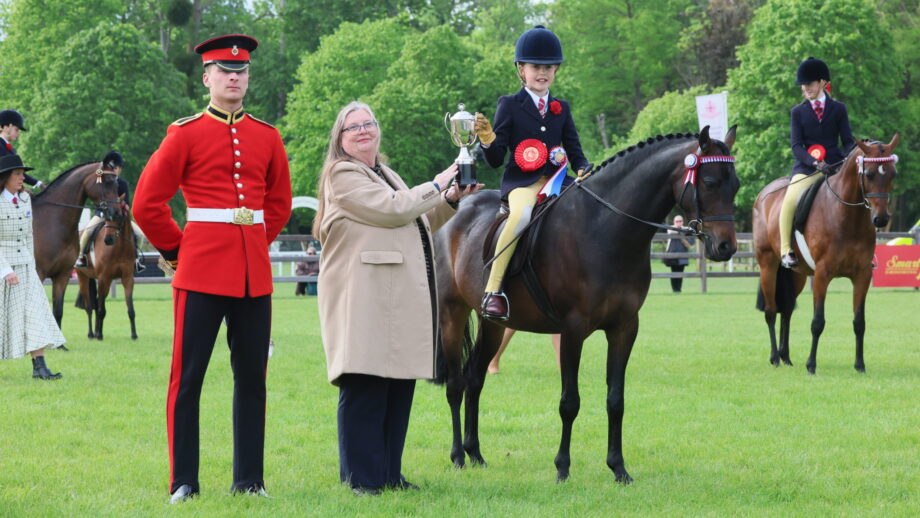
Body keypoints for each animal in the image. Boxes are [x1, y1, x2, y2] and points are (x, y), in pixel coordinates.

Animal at [31, 163, 124, 330]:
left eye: (117, 184)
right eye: (107, 181)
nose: (117, 213)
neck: (52, 221)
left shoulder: (63, 274)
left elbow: (57, 311)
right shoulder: (38, 273)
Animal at [74, 206, 138, 340]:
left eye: (119, 216)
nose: (108, 239)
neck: (119, 247)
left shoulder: (127, 278)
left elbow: (130, 308)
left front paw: (134, 335)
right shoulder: (104, 278)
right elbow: (100, 309)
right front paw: (99, 335)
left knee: (97, 302)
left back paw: (96, 332)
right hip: (83, 277)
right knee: (89, 307)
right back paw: (92, 334)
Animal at [433, 126, 739, 483]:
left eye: (736, 185)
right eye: (710, 182)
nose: (726, 247)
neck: (605, 229)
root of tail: (456, 209)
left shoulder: (625, 328)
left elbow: (616, 400)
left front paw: (619, 468)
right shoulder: (573, 330)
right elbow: (570, 402)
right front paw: (562, 467)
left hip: (493, 324)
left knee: (475, 379)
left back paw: (475, 453)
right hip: (452, 313)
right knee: (455, 384)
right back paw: (457, 455)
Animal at [752, 134, 900, 374]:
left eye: (892, 173)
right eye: (869, 174)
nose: (881, 219)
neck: (847, 217)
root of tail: (764, 194)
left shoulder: (862, 275)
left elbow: (859, 322)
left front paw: (860, 365)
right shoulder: (823, 274)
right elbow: (817, 322)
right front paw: (811, 365)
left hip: (798, 275)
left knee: (787, 311)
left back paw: (786, 357)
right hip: (768, 265)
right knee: (771, 311)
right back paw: (775, 357)